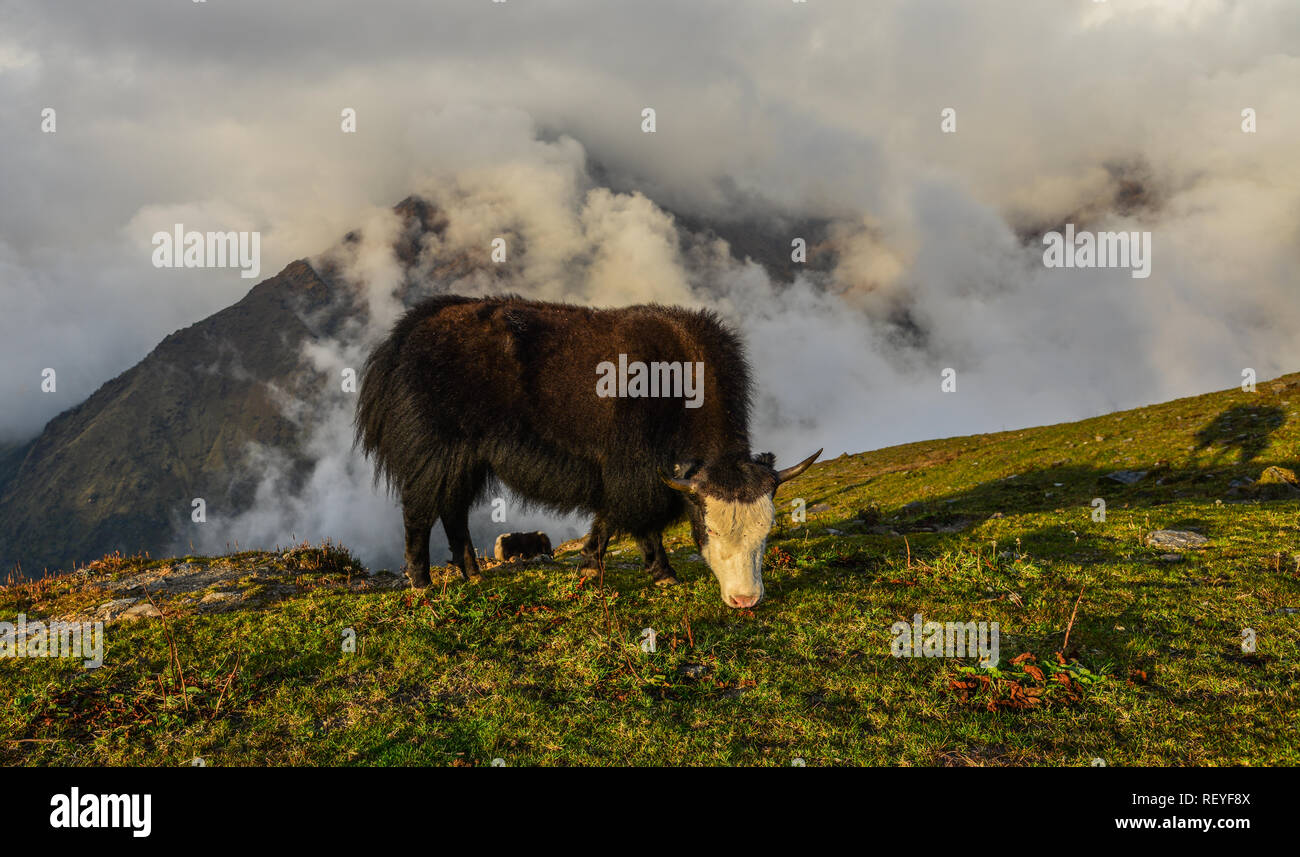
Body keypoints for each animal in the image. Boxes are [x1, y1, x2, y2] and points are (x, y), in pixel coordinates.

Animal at [355, 294, 820, 608]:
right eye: (711, 531)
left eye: (766, 532)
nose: (746, 599)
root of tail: (406, 333)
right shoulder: (632, 468)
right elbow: (627, 515)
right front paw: (645, 570)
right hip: (434, 448)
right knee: (419, 509)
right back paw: (422, 583)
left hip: (467, 457)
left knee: (453, 509)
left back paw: (473, 575)